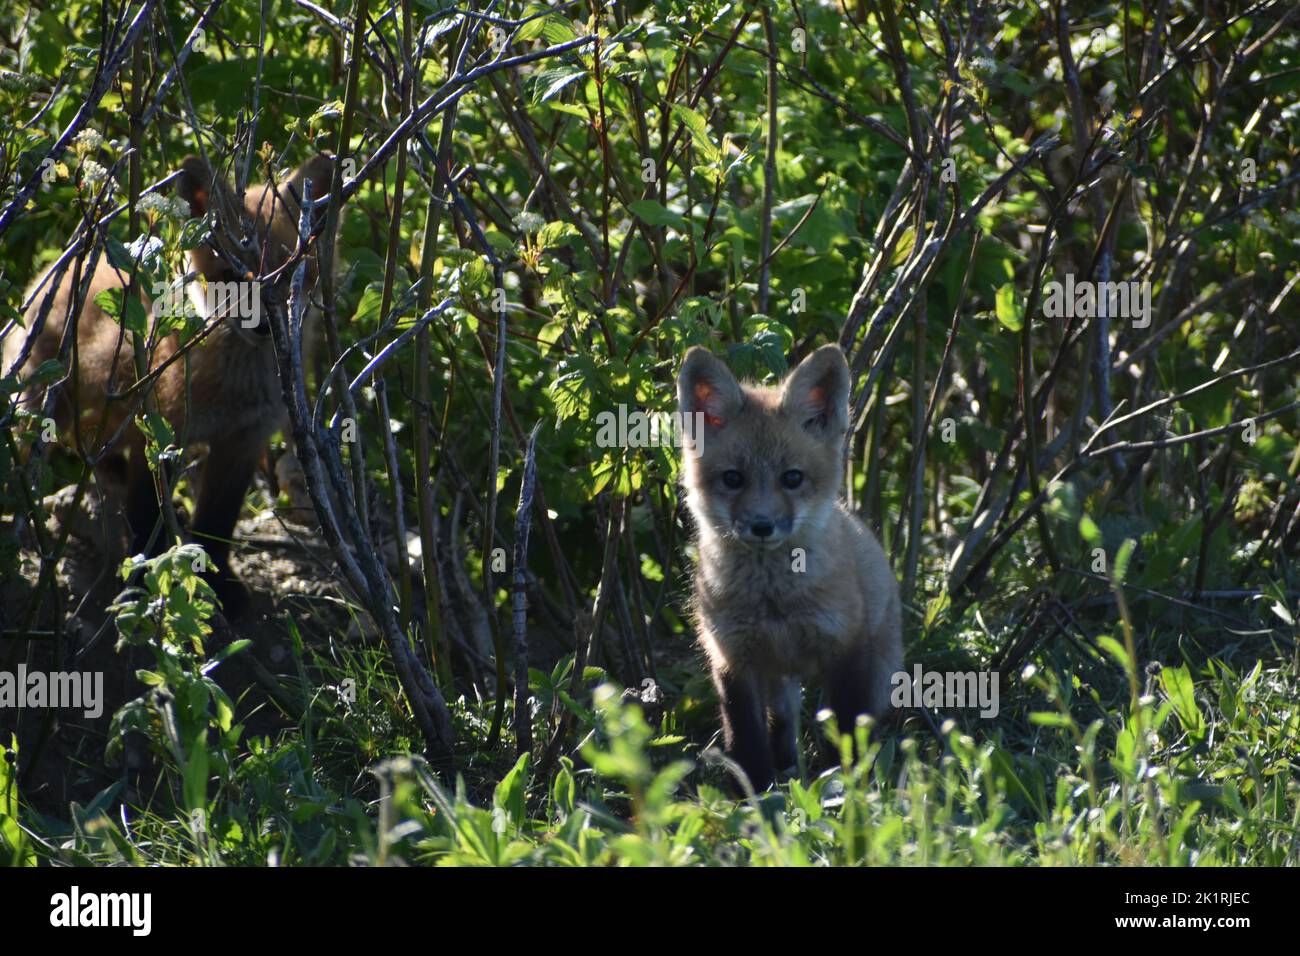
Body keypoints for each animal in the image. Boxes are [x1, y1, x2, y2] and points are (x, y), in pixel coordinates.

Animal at [5, 152, 334, 618]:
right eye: (231, 275)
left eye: (289, 274)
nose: (263, 327)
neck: (237, 388)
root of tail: (52, 274)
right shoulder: (158, 432)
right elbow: (147, 518)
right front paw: (142, 583)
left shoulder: (244, 441)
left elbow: (217, 523)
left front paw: (223, 584)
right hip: (42, 412)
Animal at [676, 343, 903, 791]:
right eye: (733, 479)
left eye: (792, 478)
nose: (762, 526)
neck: (773, 601)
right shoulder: (732, 659)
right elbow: (745, 742)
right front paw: (755, 798)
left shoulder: (846, 649)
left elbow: (845, 735)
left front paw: (845, 790)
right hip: (778, 683)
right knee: (782, 727)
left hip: (878, 673)